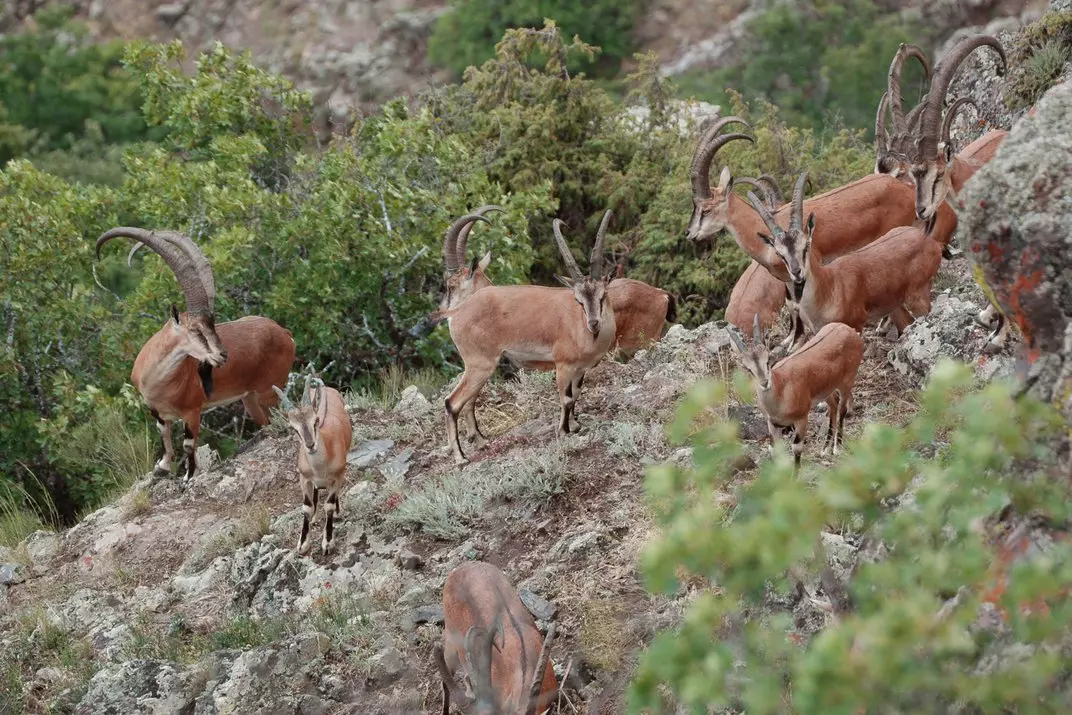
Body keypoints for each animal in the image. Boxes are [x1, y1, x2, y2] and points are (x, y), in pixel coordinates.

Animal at [272, 373, 351, 557]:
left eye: (316, 420)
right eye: (293, 428)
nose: (310, 445)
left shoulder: (338, 476)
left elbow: (329, 505)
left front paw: (328, 543)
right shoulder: (304, 478)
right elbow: (306, 508)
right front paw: (303, 544)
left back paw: (337, 513)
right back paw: (315, 516)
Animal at [733, 315, 866, 467]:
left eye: (767, 361)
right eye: (748, 369)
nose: (764, 383)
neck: (781, 389)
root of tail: (850, 331)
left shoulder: (801, 418)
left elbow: (797, 447)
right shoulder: (772, 424)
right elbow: (773, 449)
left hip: (847, 381)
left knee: (842, 408)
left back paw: (837, 447)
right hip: (826, 388)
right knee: (833, 404)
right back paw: (825, 449)